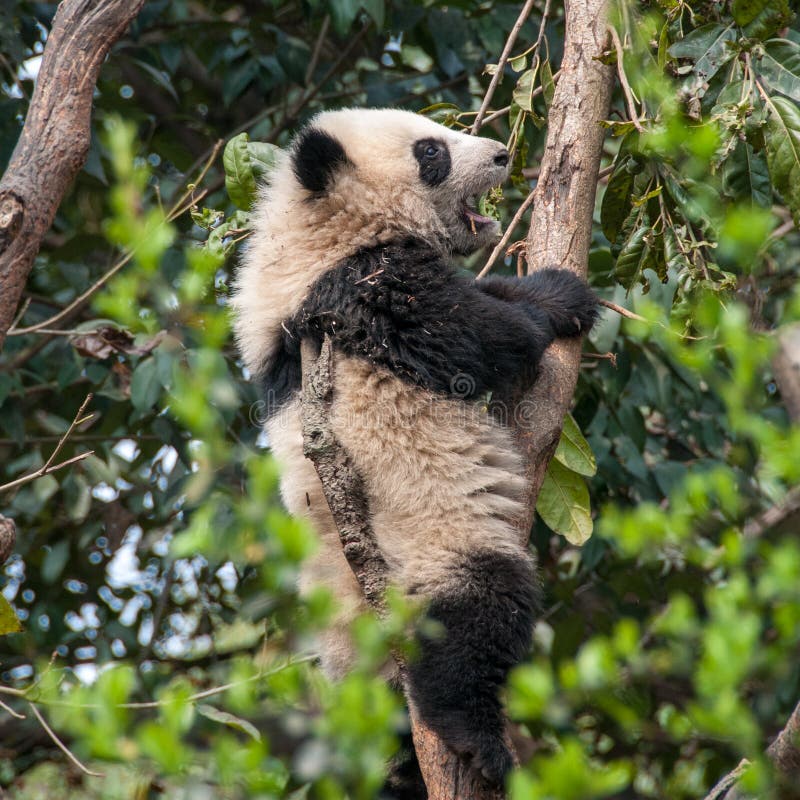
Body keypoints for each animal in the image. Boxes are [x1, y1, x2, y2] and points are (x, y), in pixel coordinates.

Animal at [231, 108, 597, 790]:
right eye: (431, 152)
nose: (503, 154)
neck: (315, 232)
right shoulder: (362, 290)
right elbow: (479, 338)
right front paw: (558, 297)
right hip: (432, 543)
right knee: (476, 613)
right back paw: (476, 737)